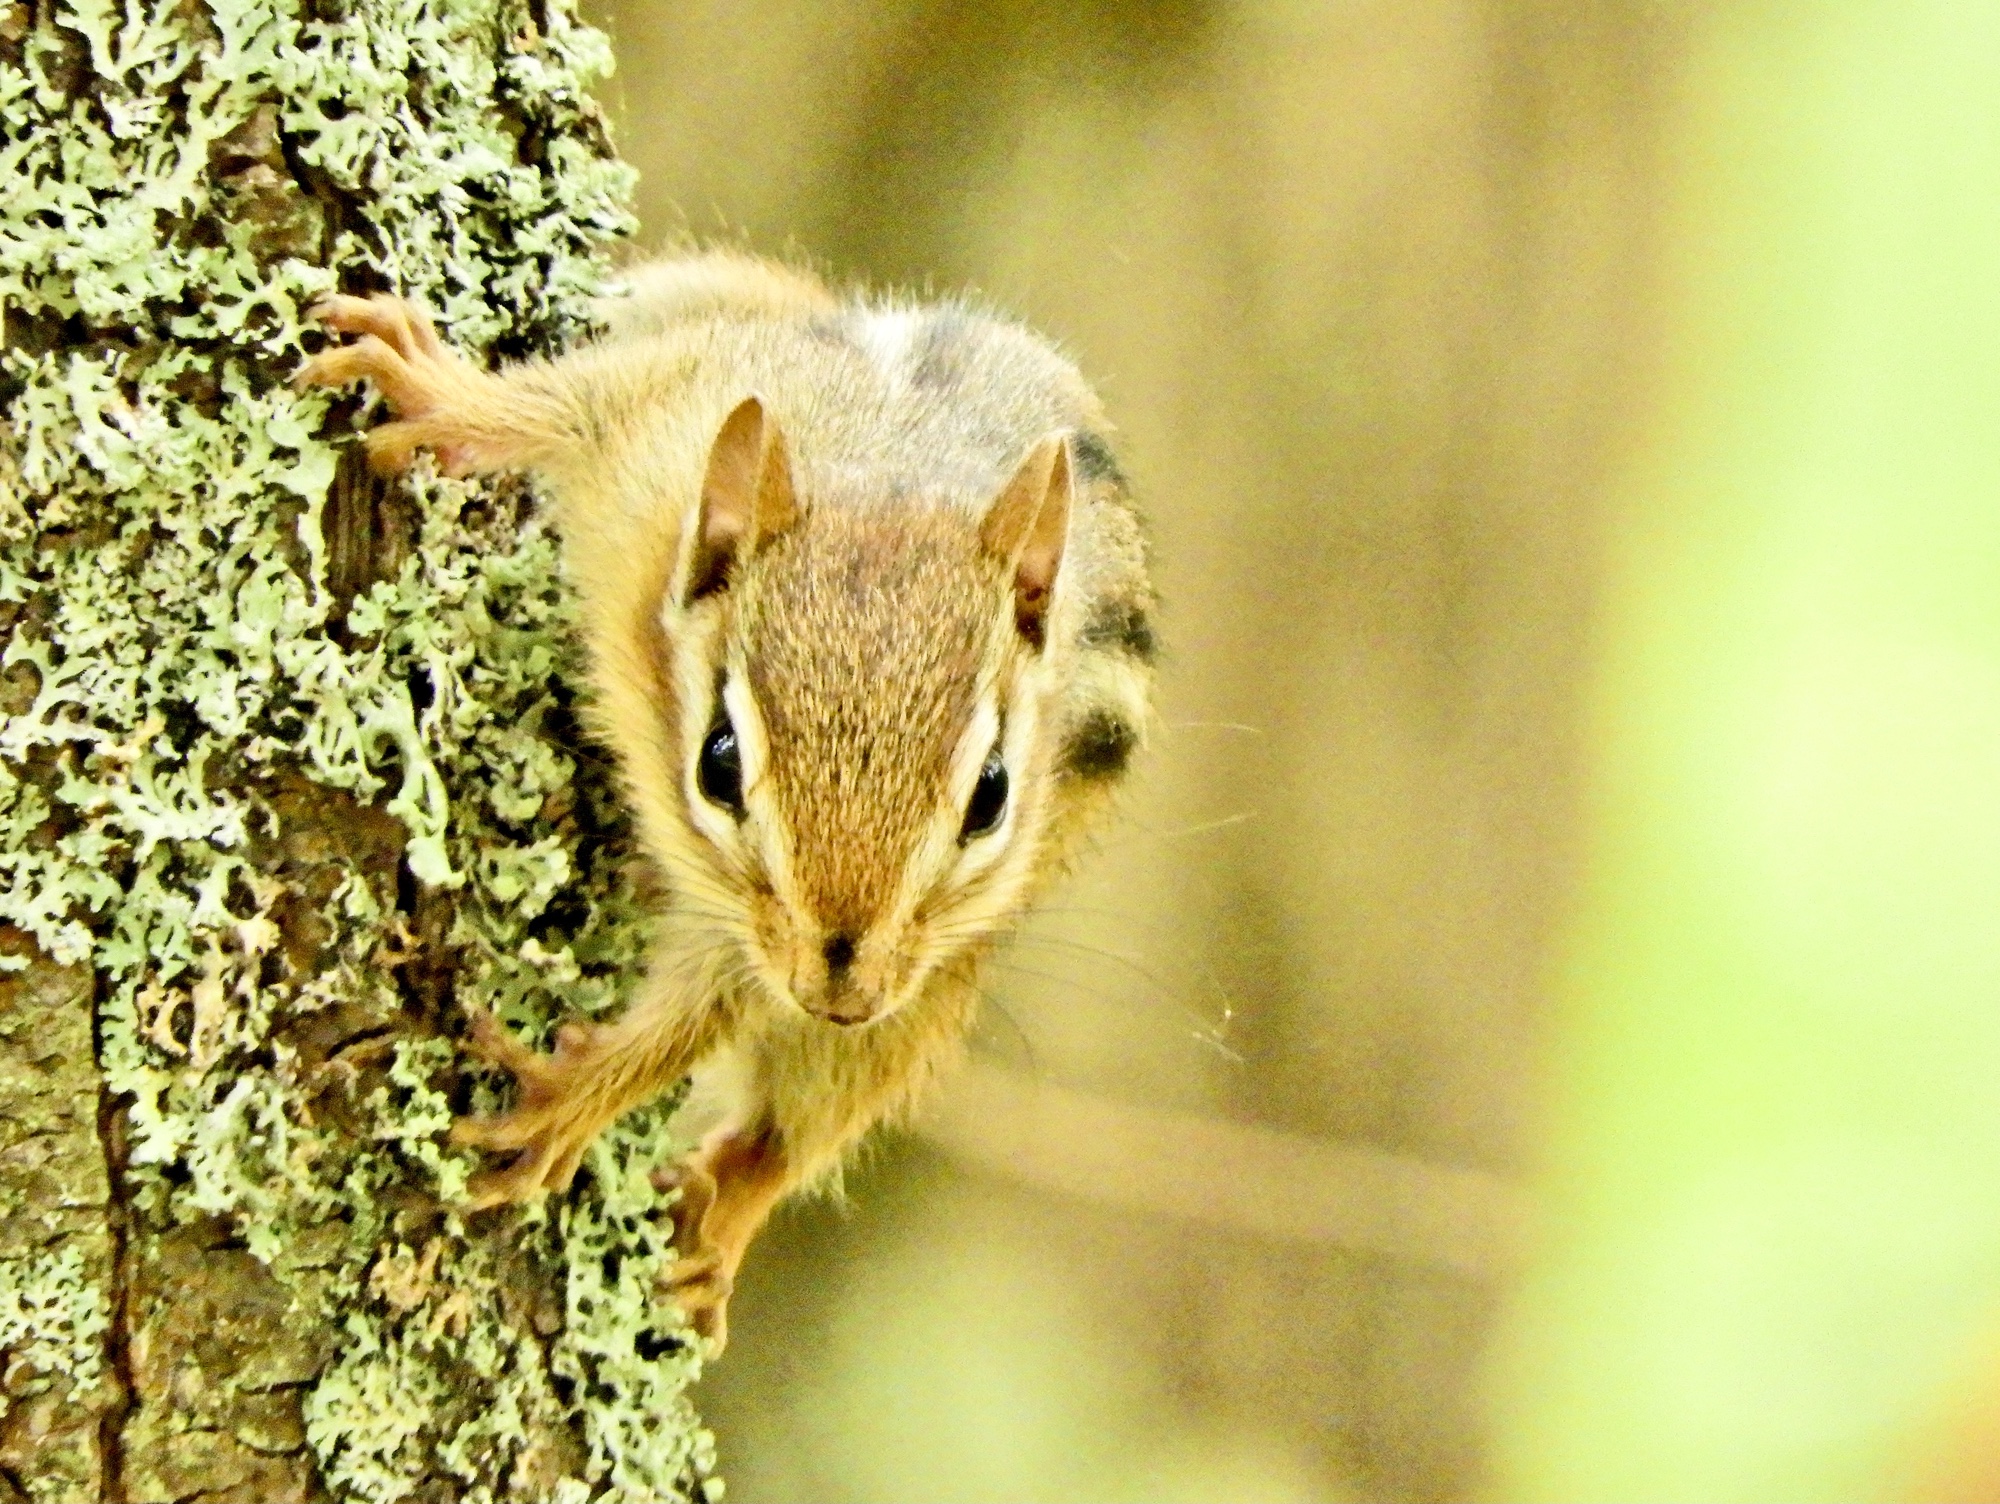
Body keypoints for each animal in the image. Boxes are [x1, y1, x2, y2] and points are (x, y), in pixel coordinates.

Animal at [297, 251, 1157, 1351]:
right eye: (717, 761)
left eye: (993, 795)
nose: (840, 991)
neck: (890, 476)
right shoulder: (650, 413)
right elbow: (552, 404)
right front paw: (441, 387)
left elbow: (707, 1013)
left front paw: (569, 1100)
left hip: (946, 976)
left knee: (803, 1123)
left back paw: (726, 1217)